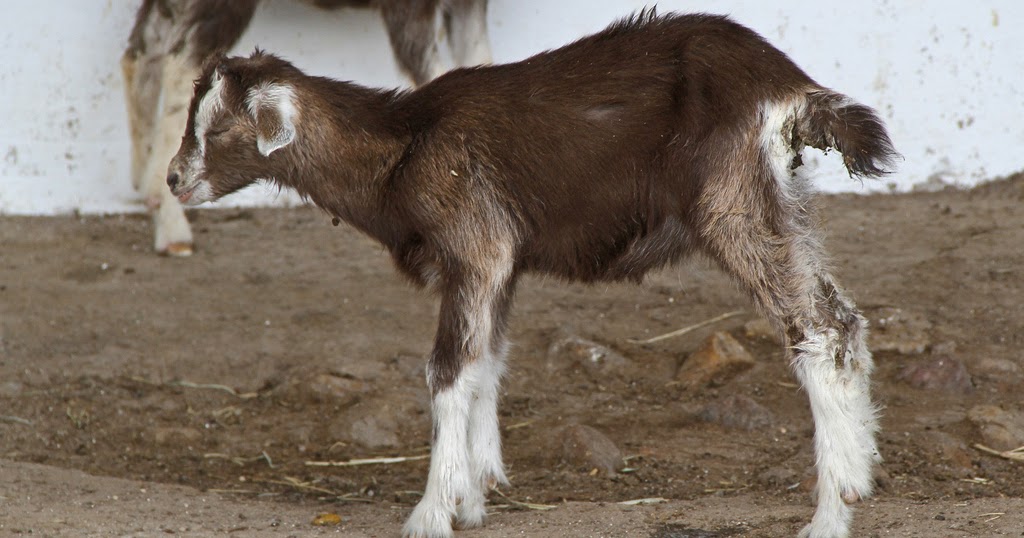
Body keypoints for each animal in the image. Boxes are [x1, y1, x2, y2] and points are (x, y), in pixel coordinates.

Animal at [165, 10, 897, 538]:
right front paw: (473, 496)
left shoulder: (475, 246)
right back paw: (861, 474)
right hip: (778, 202)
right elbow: (486, 365)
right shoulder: (500, 266)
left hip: (731, 205)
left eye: (219, 129)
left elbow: (448, 371)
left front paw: (430, 514)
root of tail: (786, 86)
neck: (403, 145)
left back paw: (830, 513)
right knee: (845, 320)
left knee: (815, 331)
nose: (173, 179)